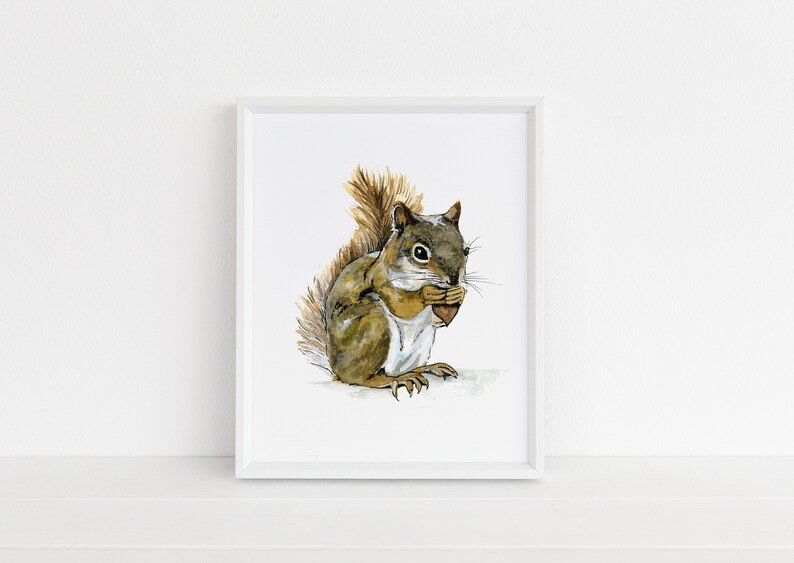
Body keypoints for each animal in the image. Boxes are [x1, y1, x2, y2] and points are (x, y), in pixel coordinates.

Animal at [297, 166, 469, 399]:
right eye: (420, 252)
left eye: (466, 250)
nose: (453, 279)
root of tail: (336, 369)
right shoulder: (379, 278)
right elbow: (400, 305)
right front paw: (427, 294)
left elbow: (442, 318)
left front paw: (459, 293)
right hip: (373, 324)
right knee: (364, 378)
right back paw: (397, 379)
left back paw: (427, 368)